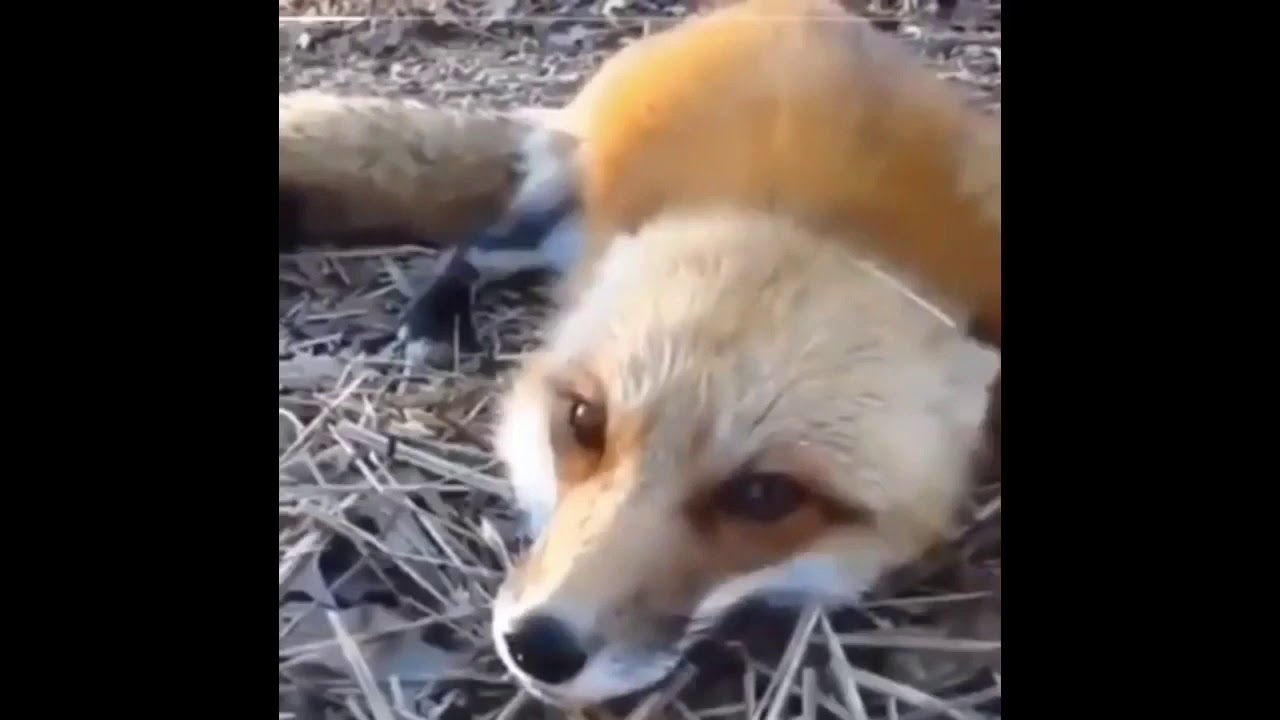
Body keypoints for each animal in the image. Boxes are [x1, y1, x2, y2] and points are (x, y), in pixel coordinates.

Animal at [477, 0, 1001, 709]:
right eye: (585, 421)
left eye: (764, 496)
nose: (538, 645)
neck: (821, 218)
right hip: (558, 206)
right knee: (475, 247)